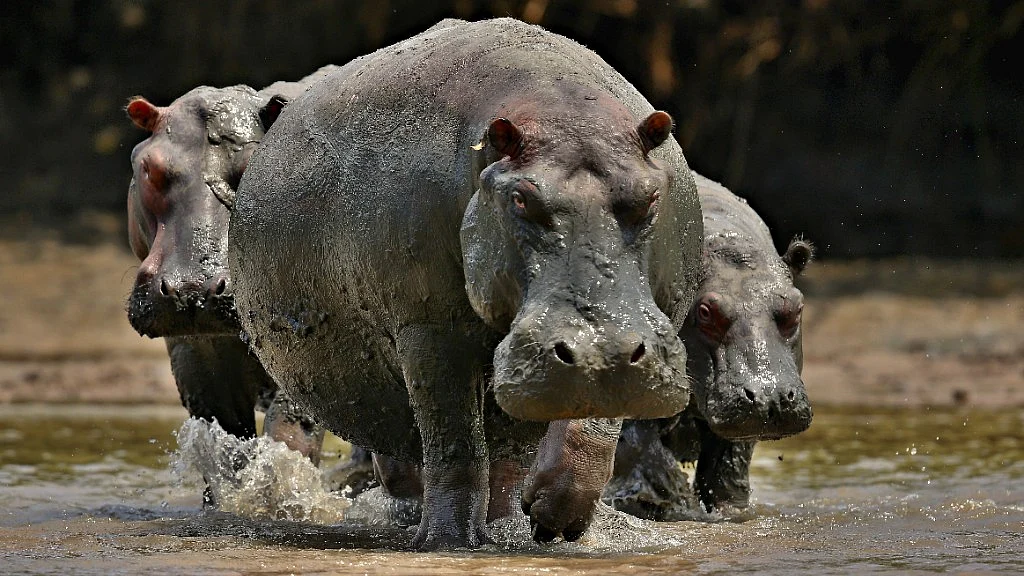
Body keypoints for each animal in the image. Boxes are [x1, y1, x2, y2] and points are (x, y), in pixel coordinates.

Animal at [124, 66, 337, 479]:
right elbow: (224, 449)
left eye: (257, 165)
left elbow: (290, 437)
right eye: (149, 167)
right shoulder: (199, 359)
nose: (192, 287)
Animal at [229, 18, 703, 548]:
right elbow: (453, 439)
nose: (601, 352)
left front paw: (553, 520)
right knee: (426, 450)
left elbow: (594, 425)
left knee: (505, 456)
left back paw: (511, 521)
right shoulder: (428, 327)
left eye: (651, 195)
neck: (564, 112)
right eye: (520, 198)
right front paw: (448, 543)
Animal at [604, 173, 814, 519]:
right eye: (704, 311)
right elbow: (635, 442)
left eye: (796, 307)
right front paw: (667, 494)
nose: (770, 397)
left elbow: (727, 471)